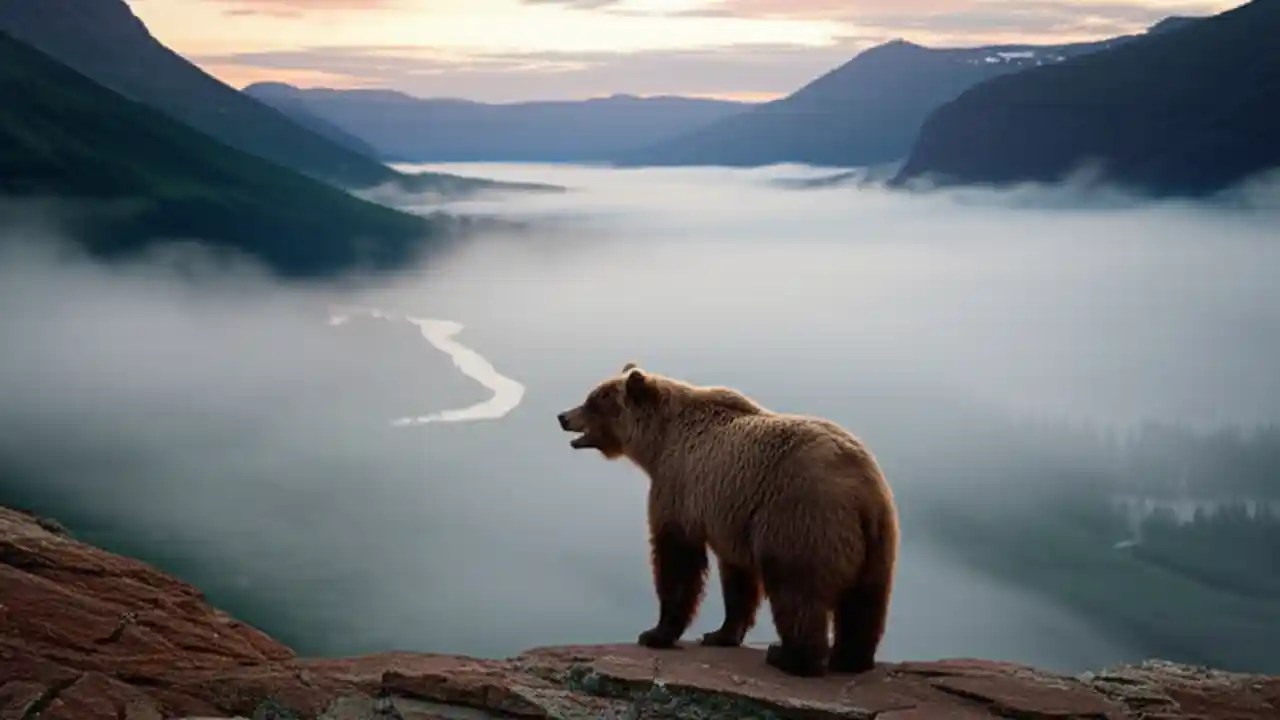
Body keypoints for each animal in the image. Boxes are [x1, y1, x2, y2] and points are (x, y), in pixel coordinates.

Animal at [557, 363, 899, 677]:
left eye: (594, 400)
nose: (563, 416)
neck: (659, 441)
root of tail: (859, 488)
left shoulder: (680, 487)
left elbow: (678, 559)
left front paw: (656, 633)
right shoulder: (731, 515)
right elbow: (737, 578)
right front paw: (720, 634)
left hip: (801, 519)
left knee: (797, 590)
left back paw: (789, 656)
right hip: (878, 540)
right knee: (865, 601)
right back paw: (851, 658)